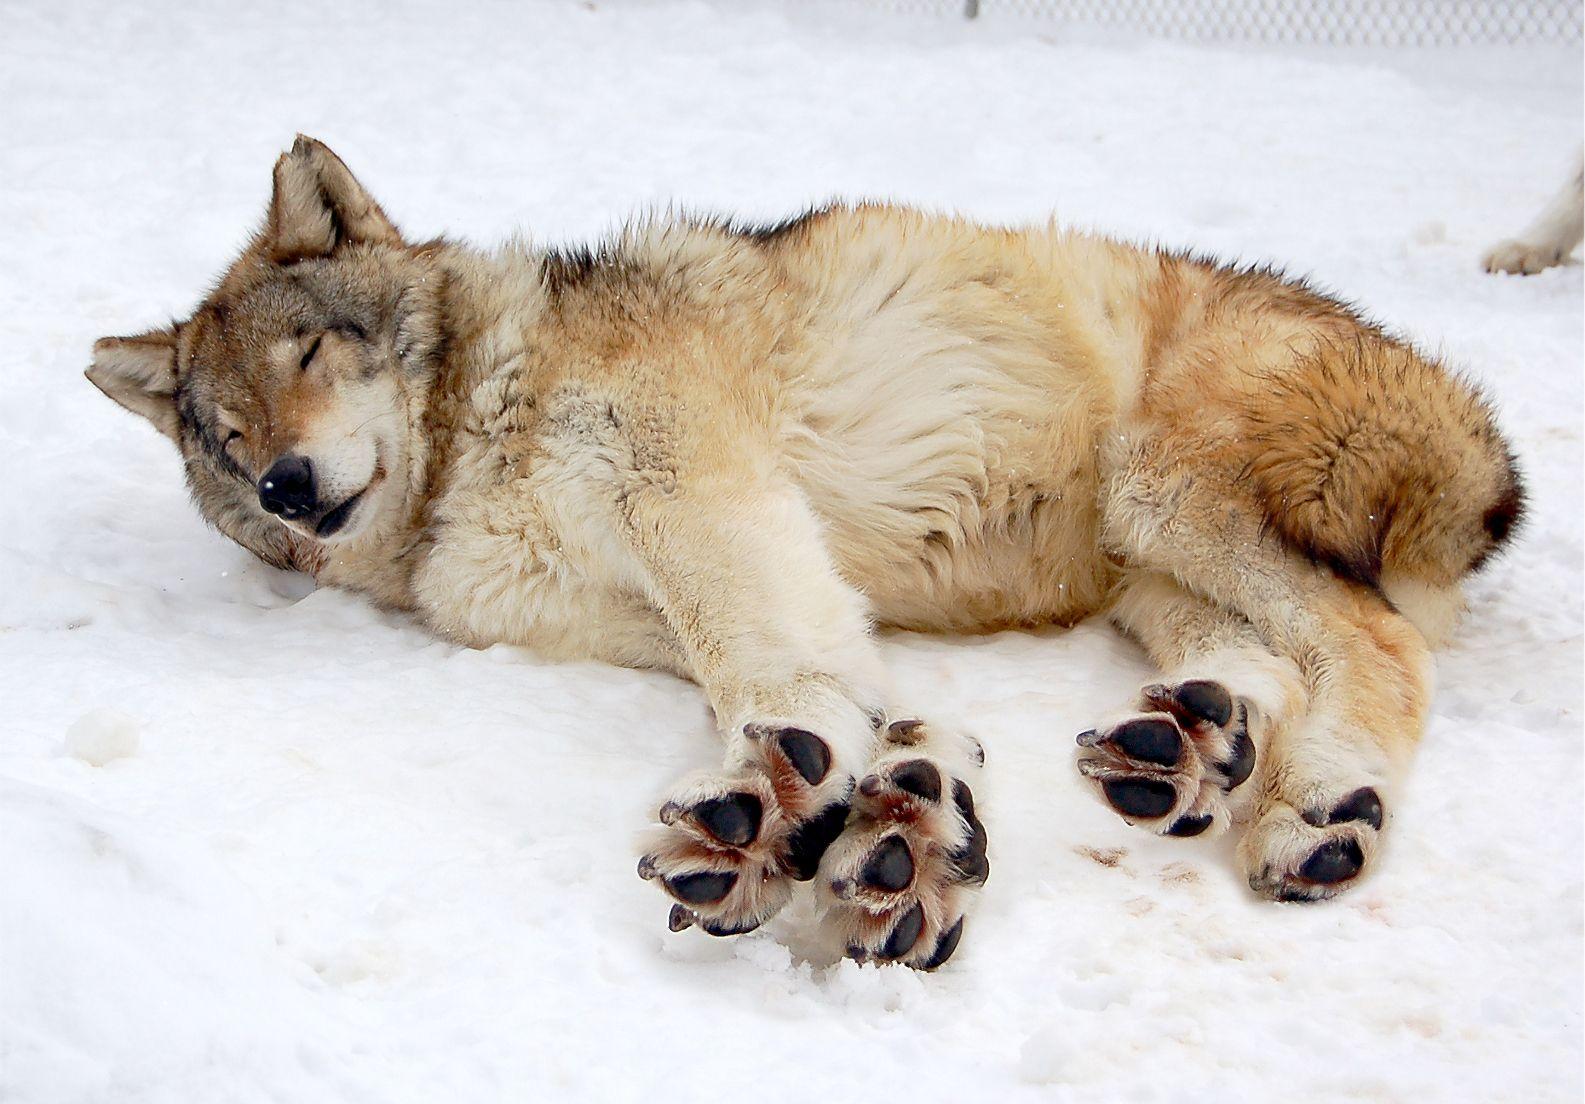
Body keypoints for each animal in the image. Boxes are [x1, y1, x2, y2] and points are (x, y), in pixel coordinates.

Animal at [87, 137, 1523, 969]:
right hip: (1150, 578)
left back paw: (1325, 804)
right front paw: (902, 813)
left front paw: (782, 790)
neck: (462, 459)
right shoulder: (652, 603)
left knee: (1379, 644)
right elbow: (848, 686)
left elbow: (767, 667)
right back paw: (1190, 747)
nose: (285, 487)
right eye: (226, 438)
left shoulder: (689, 489)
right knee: (1267, 666)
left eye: (310, 355)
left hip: (1162, 497)